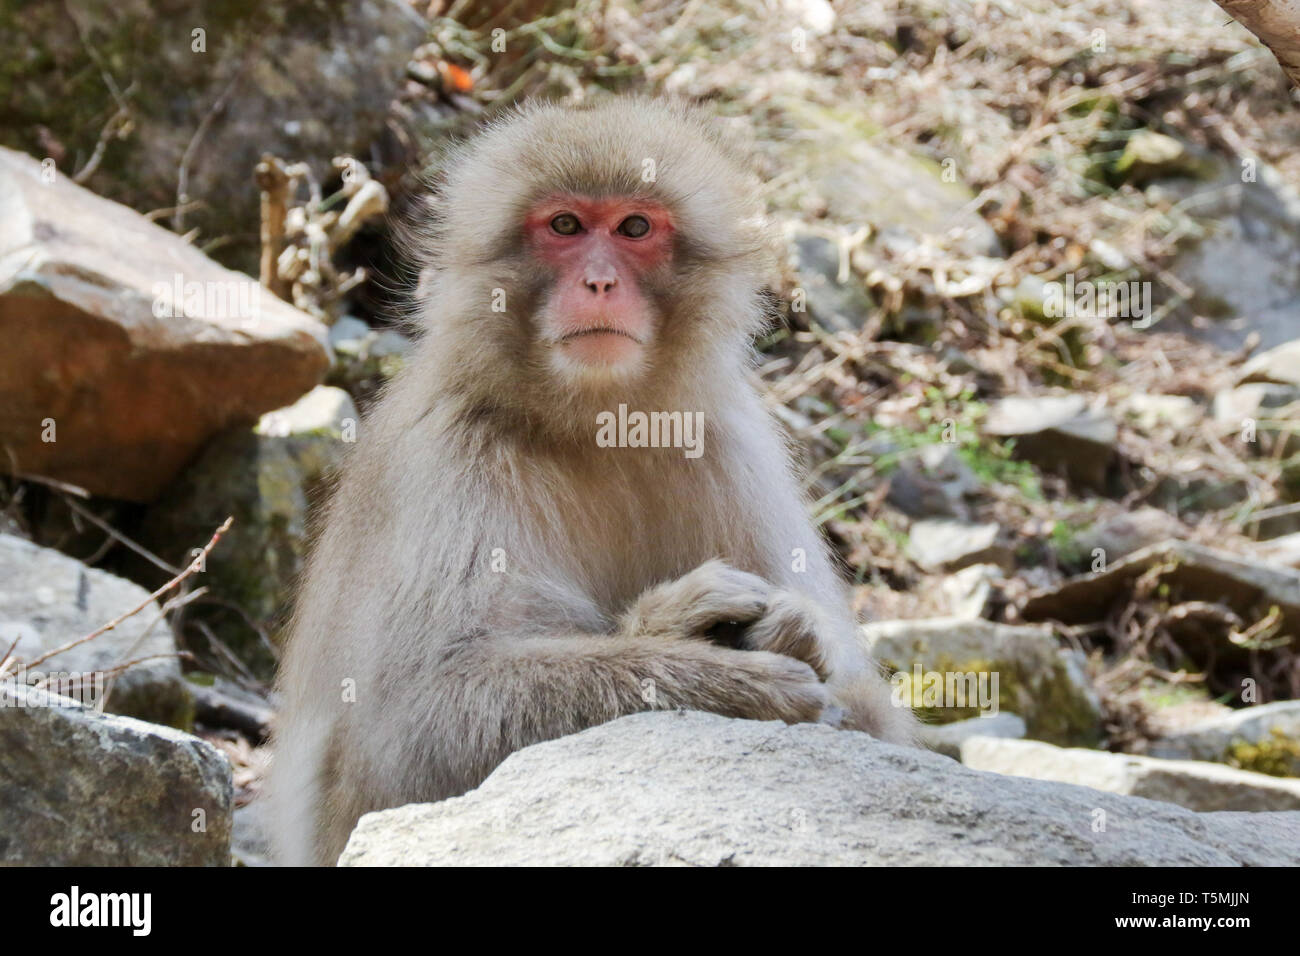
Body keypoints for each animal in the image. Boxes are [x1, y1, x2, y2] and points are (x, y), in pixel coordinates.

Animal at [267, 98, 915, 867]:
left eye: (634, 228)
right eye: (565, 227)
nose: (599, 283)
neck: (595, 425)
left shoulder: (731, 443)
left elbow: (871, 709)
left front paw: (791, 630)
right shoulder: (443, 455)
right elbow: (404, 734)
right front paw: (702, 660)